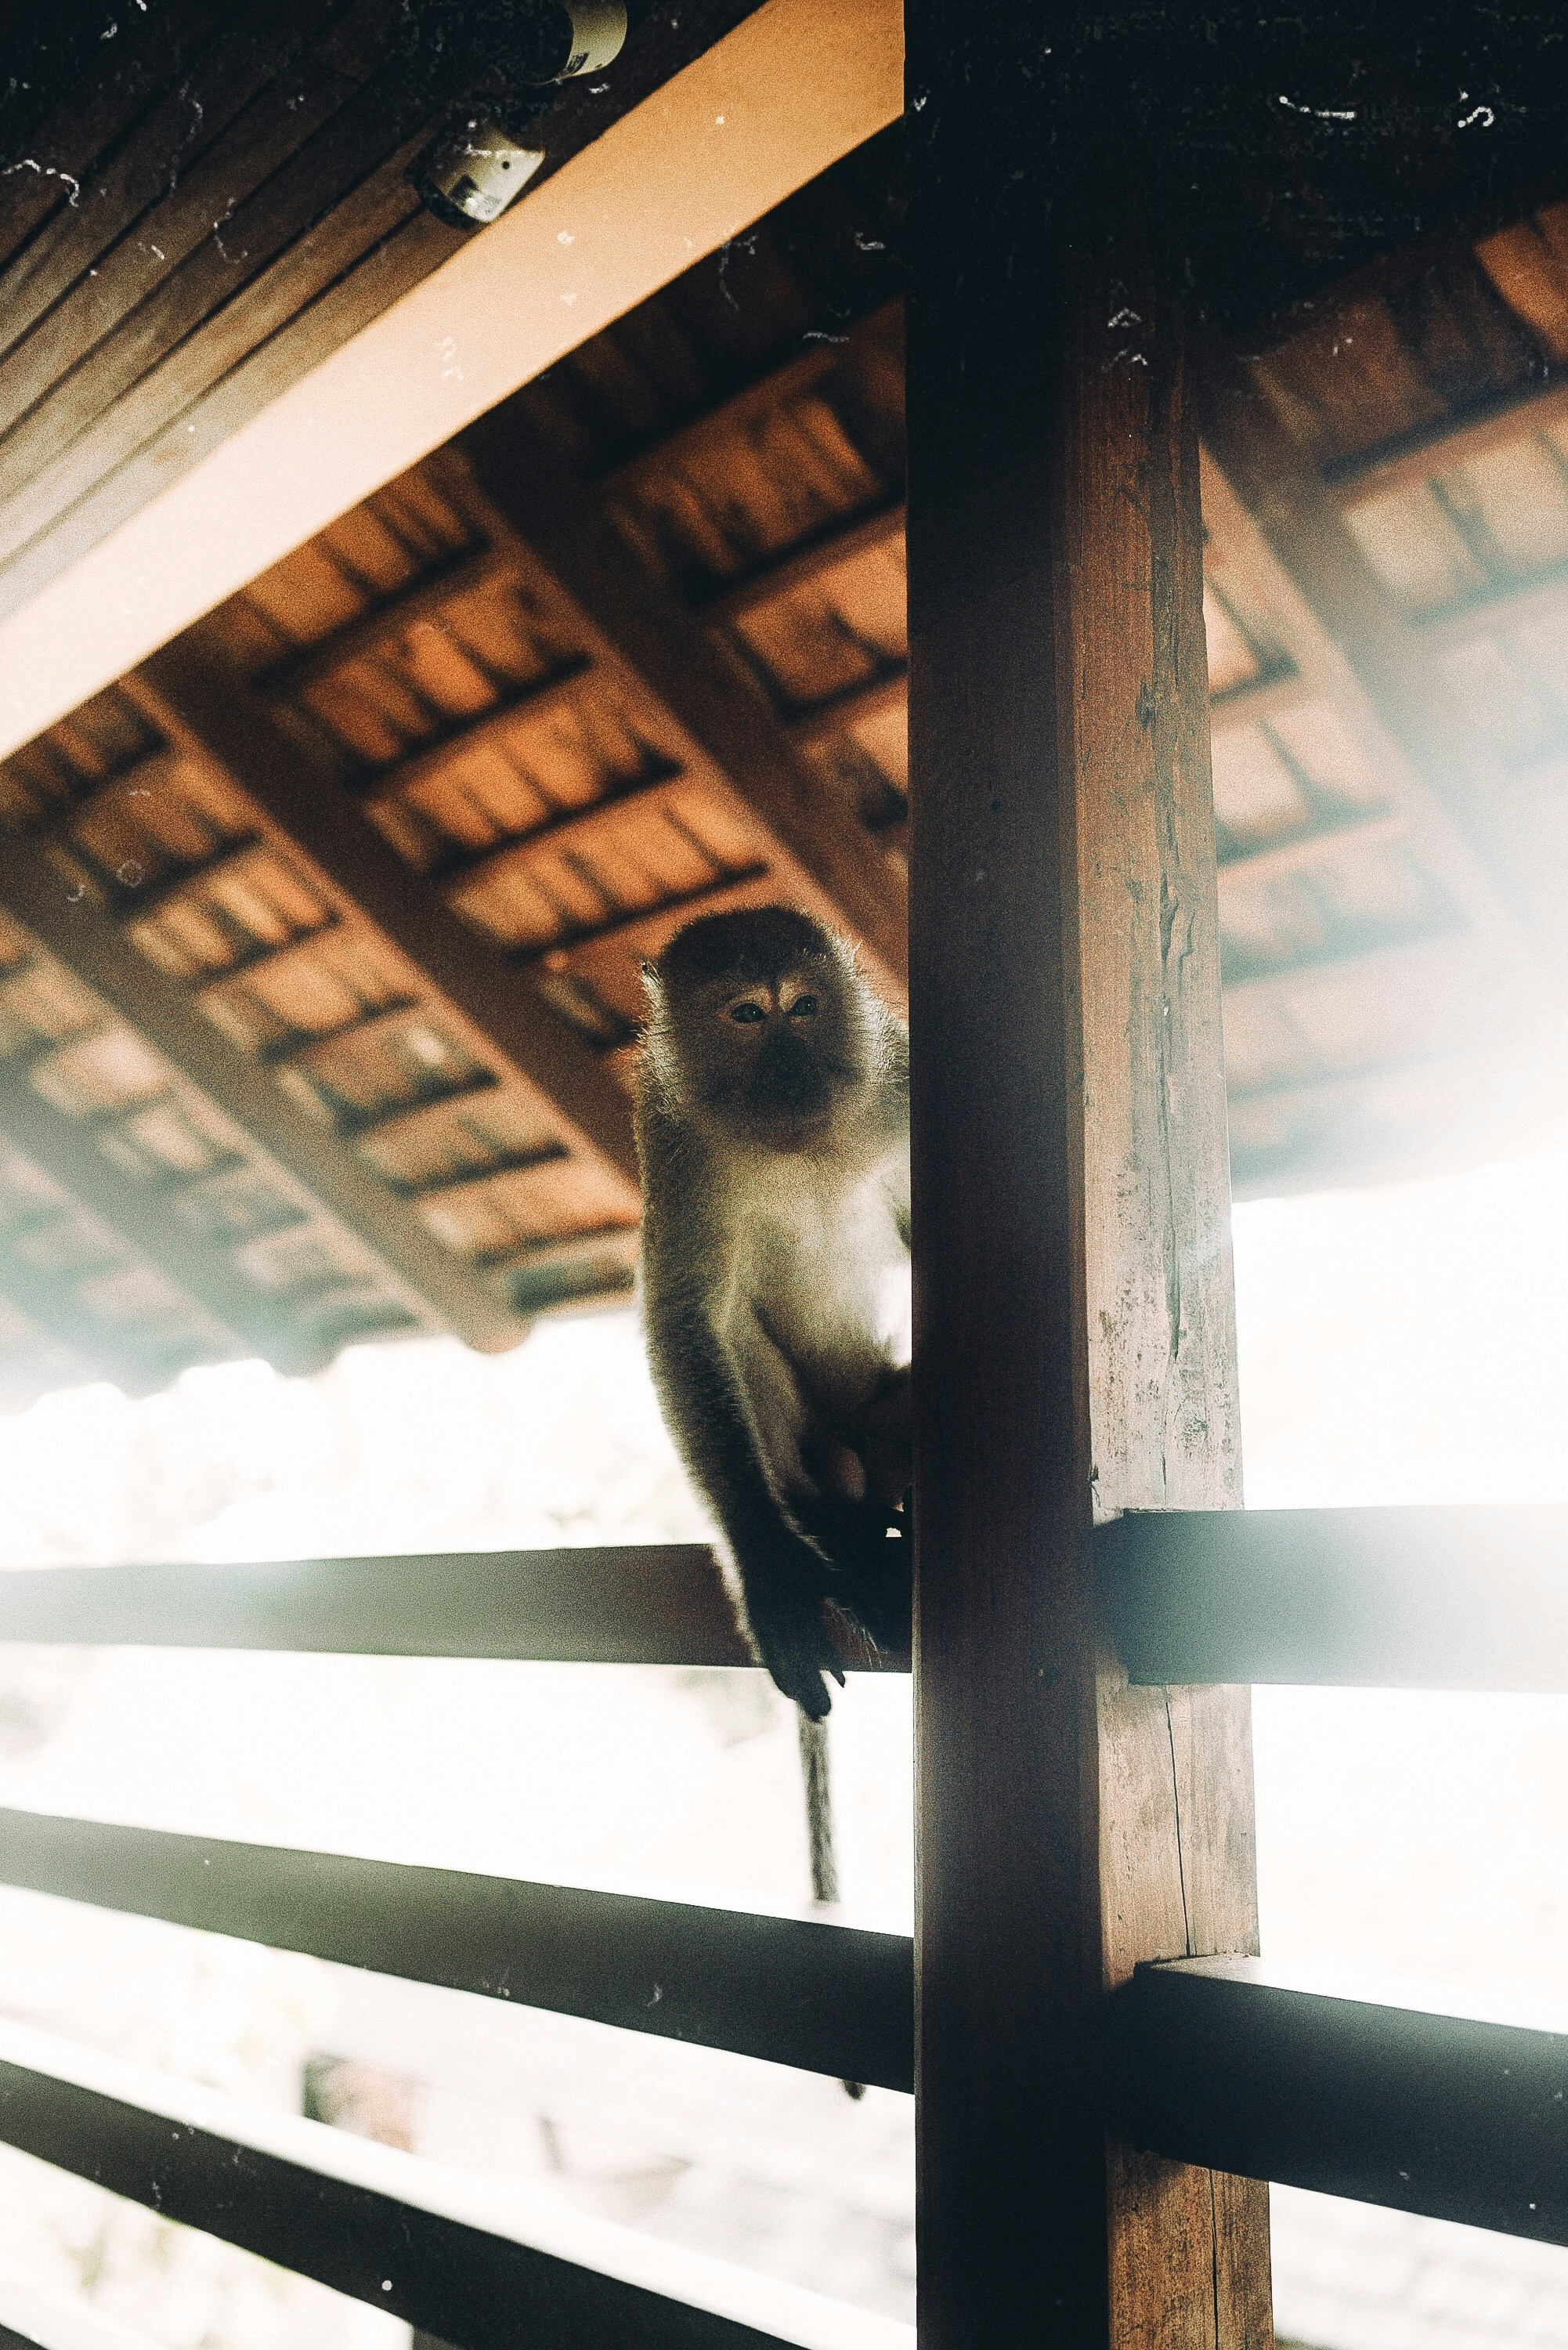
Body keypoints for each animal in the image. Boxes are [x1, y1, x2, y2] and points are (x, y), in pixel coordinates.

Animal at [635, 905, 912, 1741]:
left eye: (805, 1006)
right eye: (749, 1015)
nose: (794, 1068)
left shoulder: (896, 1085)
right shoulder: (678, 1147)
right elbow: (688, 1319)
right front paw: (766, 1557)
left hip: (876, 1416)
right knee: (737, 1343)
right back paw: (832, 1527)